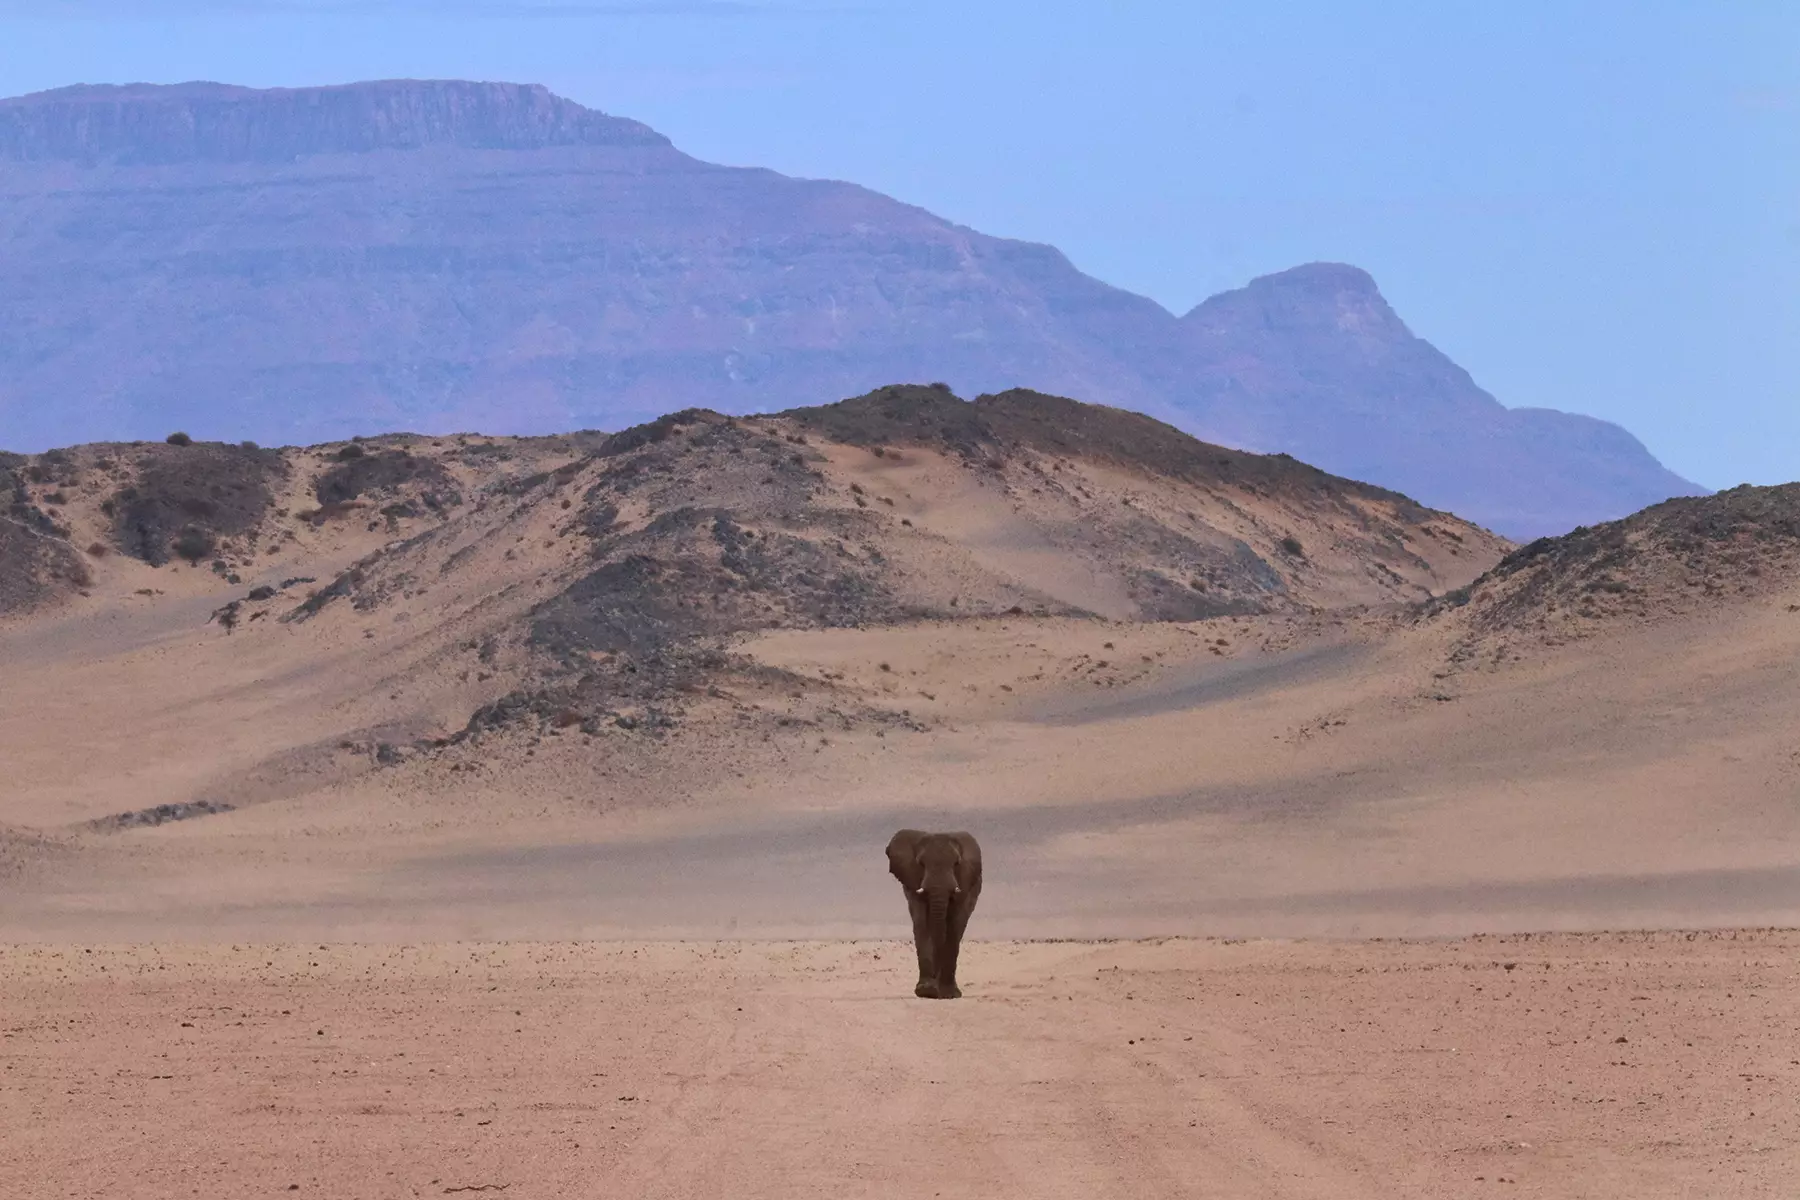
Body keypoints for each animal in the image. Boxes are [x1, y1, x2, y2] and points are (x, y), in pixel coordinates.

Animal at [885, 831, 986, 1000]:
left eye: (956, 863)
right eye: (921, 864)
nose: (934, 978)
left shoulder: (965, 885)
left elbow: (955, 924)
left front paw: (949, 994)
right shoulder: (913, 884)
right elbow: (921, 923)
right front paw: (926, 991)